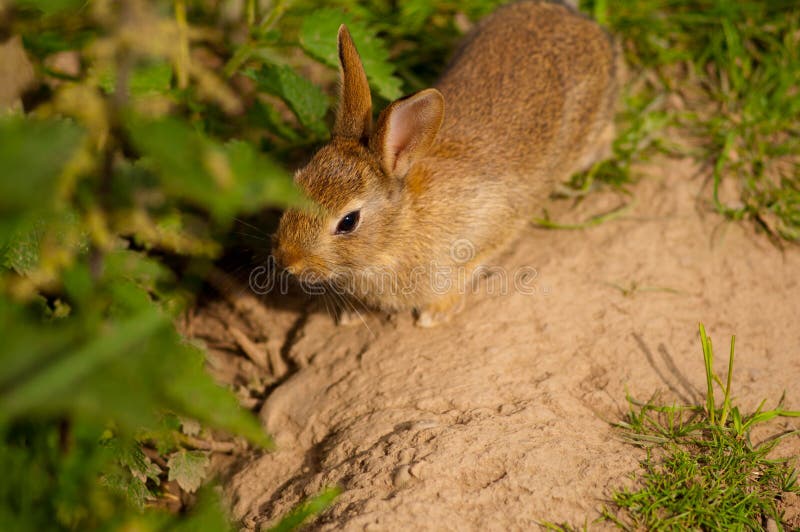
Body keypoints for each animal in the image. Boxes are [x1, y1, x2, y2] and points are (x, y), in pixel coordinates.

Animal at [273, 0, 618, 327]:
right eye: (296, 182)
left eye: (348, 221)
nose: (286, 259)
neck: (399, 232)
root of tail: (574, 18)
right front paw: (349, 313)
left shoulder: (487, 229)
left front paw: (435, 314)